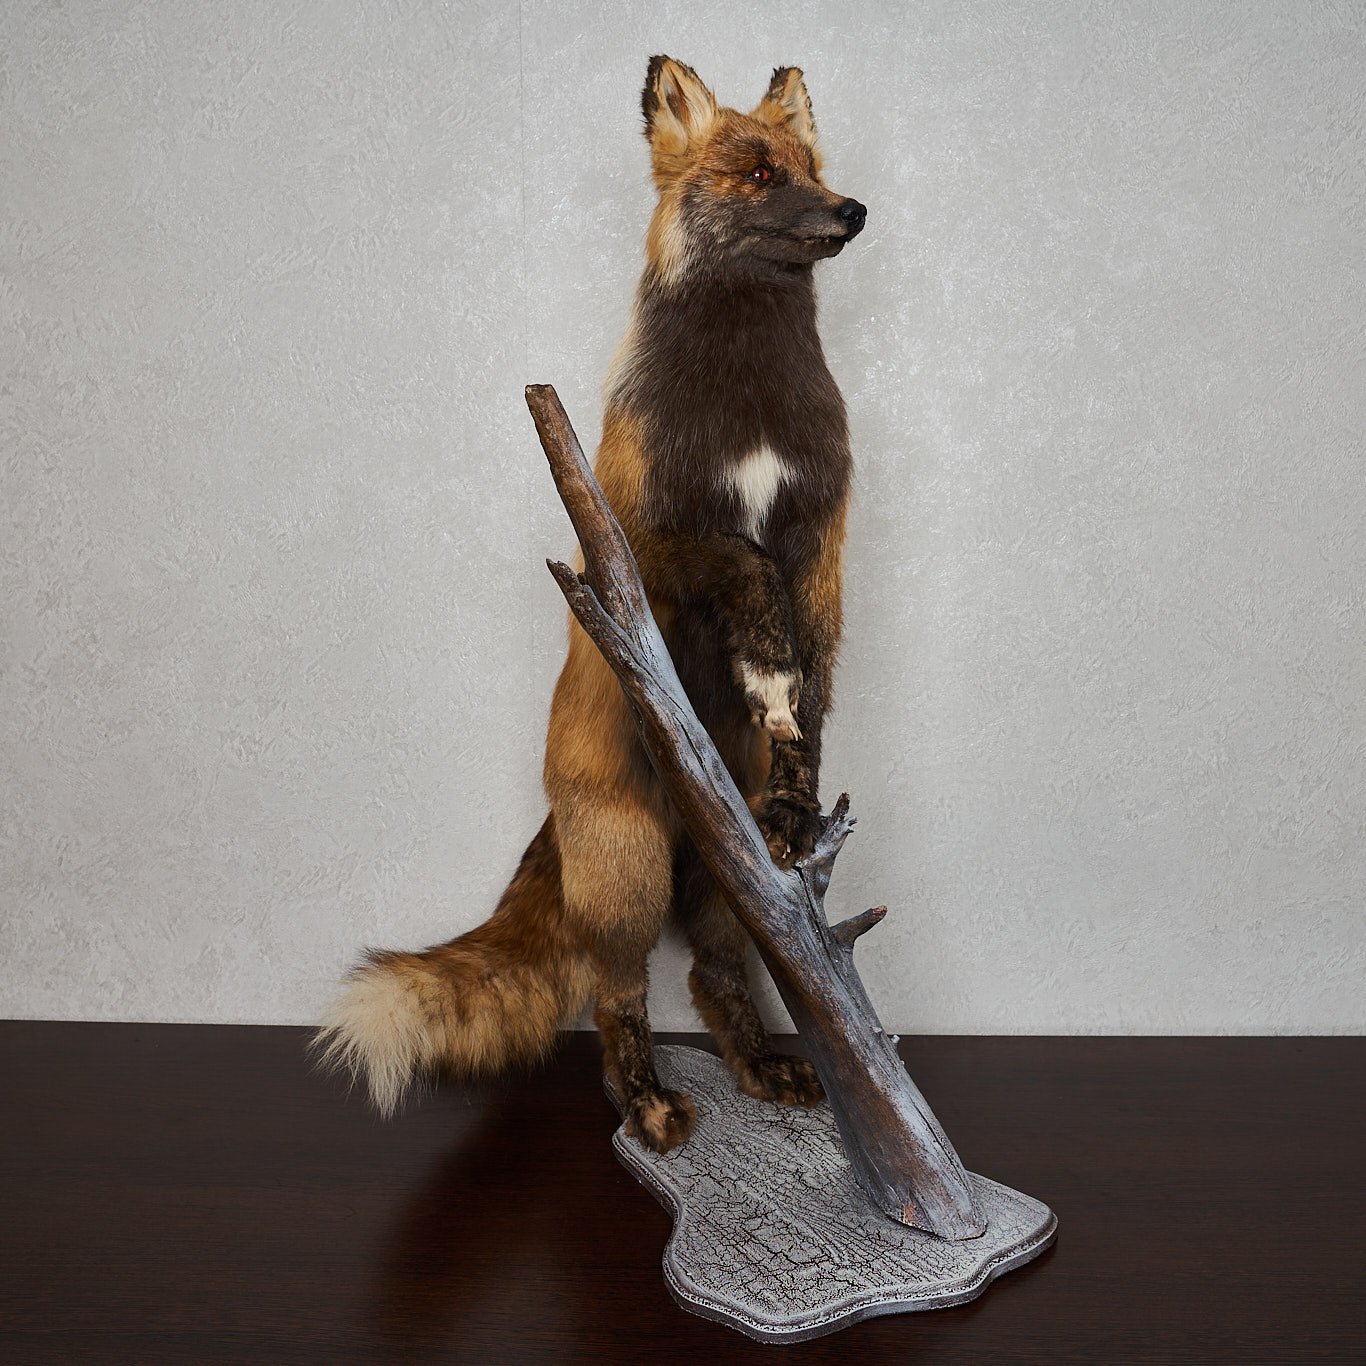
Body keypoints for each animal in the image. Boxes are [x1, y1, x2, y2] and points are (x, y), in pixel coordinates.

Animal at [316, 56, 867, 1155]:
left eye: (814, 169)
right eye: (757, 174)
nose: (853, 210)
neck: (747, 409)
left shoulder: (821, 545)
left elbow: (812, 680)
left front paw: (797, 784)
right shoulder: (637, 542)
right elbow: (742, 570)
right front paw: (766, 667)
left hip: (725, 893)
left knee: (712, 977)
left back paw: (760, 1065)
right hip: (629, 877)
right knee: (618, 997)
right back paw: (647, 1102)